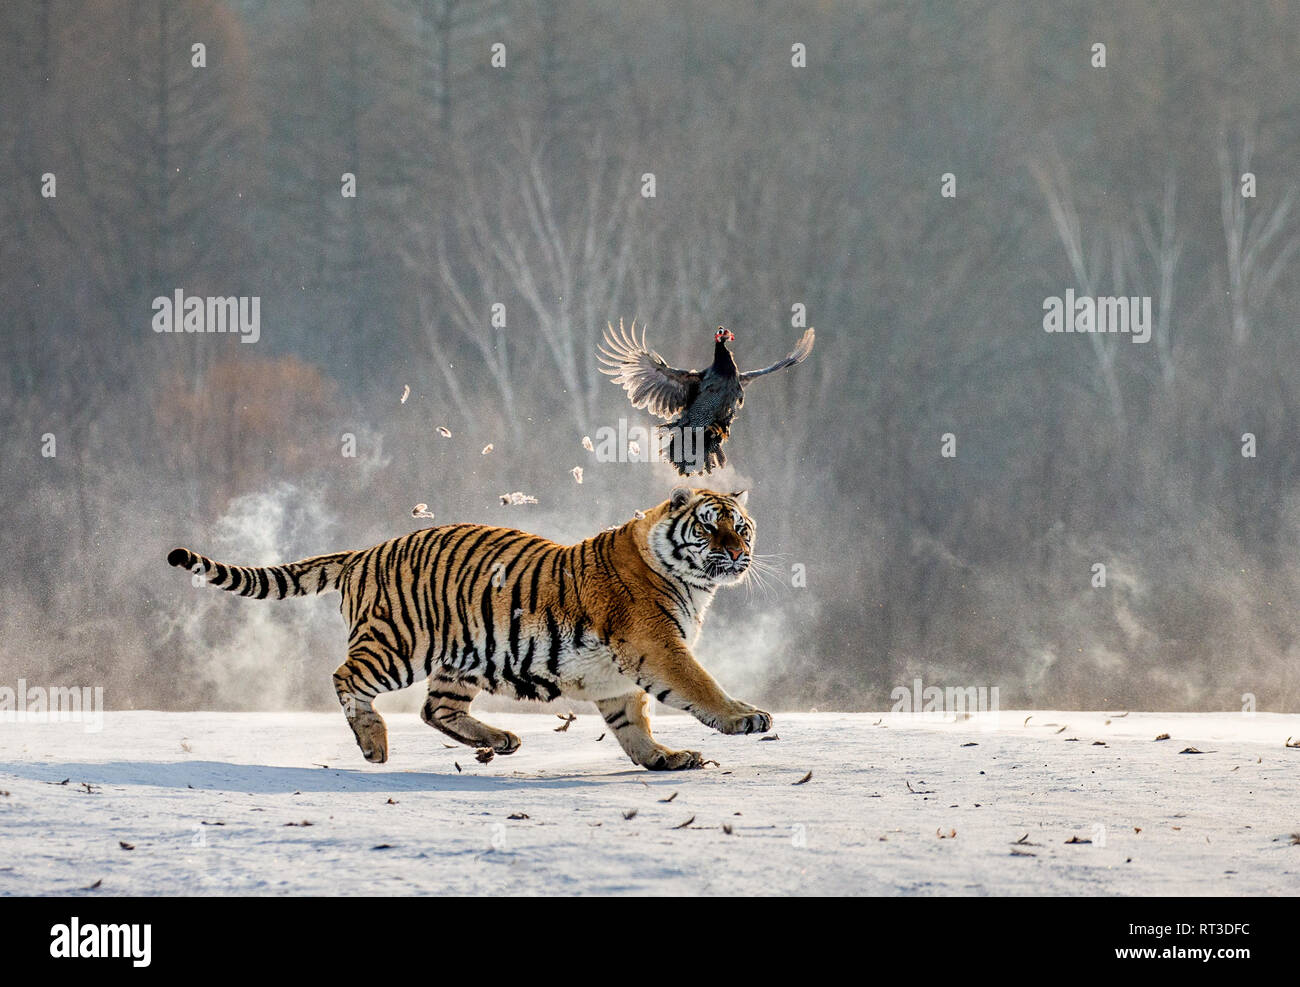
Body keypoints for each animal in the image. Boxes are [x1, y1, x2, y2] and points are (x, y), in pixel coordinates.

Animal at [166, 486, 771, 770]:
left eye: (741, 528)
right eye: (709, 528)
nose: (738, 554)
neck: (692, 583)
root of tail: (365, 552)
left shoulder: (618, 677)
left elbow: (633, 726)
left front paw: (664, 758)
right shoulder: (660, 647)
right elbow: (701, 686)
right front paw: (745, 718)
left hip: (463, 659)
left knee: (436, 710)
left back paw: (499, 739)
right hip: (397, 645)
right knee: (344, 677)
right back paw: (373, 743)